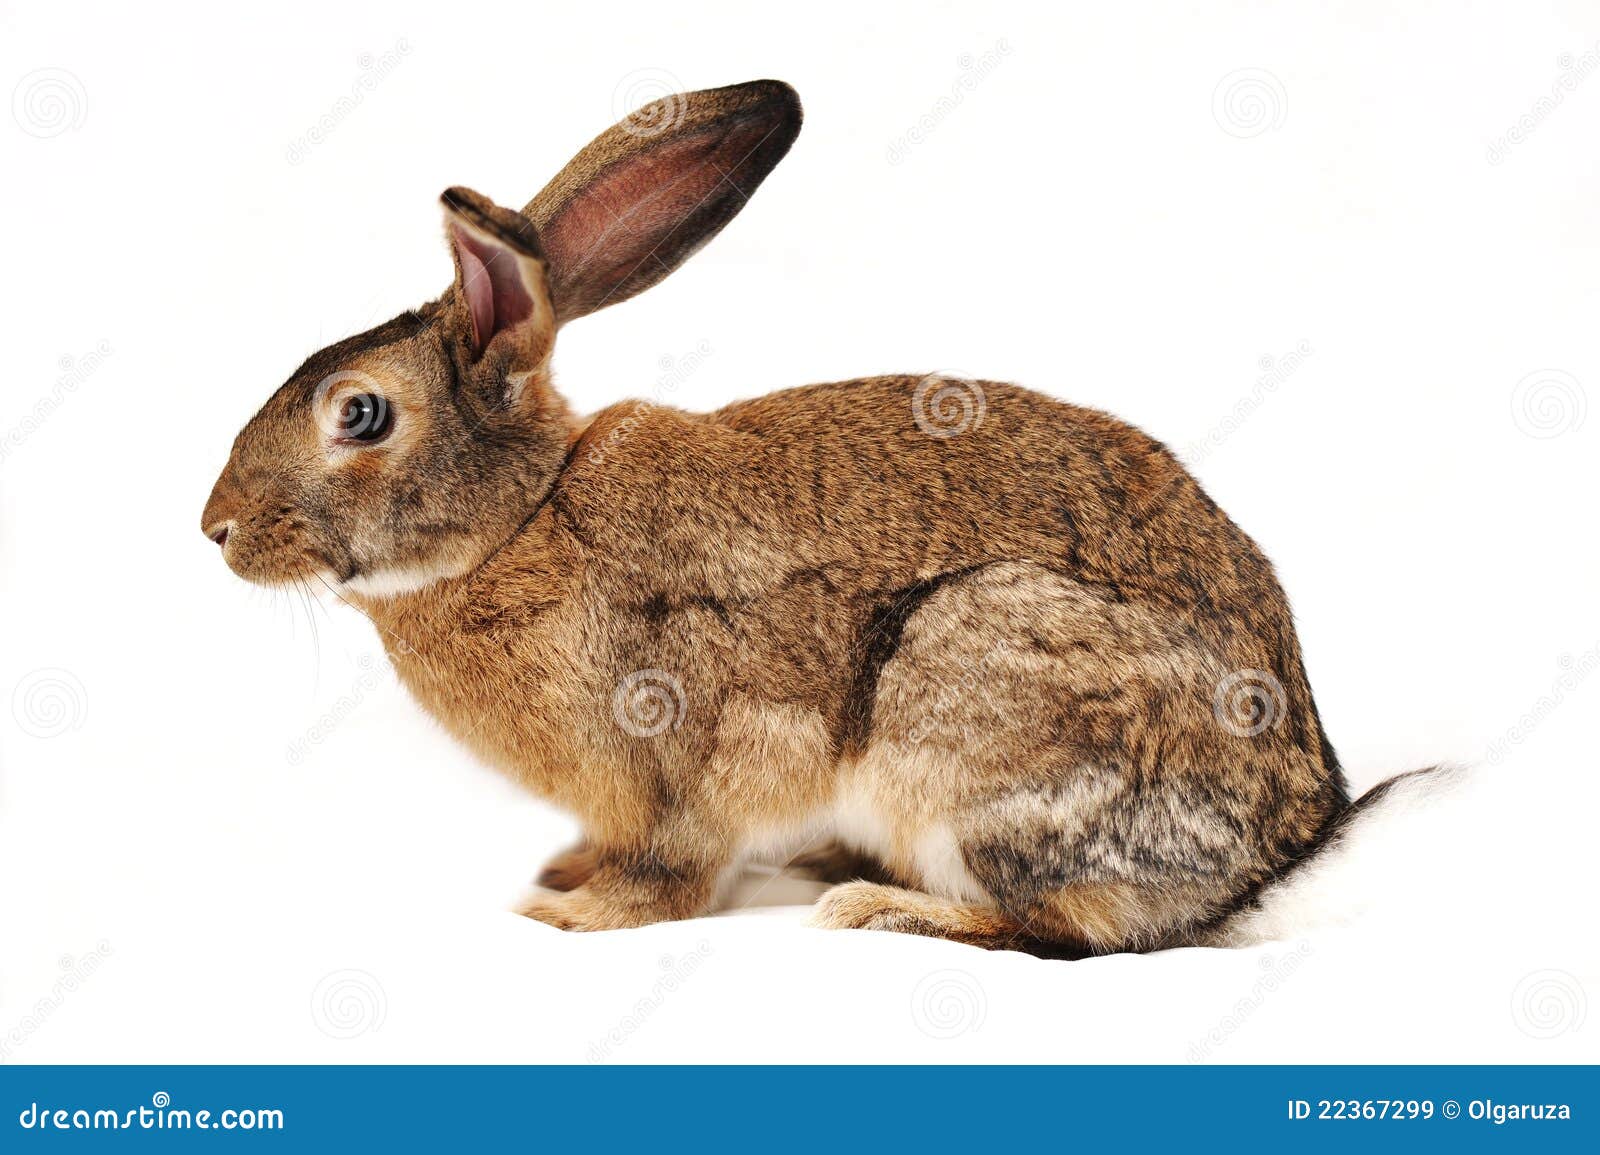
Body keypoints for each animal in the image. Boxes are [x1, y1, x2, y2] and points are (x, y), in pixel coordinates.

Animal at [201, 79, 1448, 957]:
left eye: (361, 414)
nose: (214, 530)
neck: (518, 519)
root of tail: (1286, 840)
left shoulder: (677, 752)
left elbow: (670, 869)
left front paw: (569, 918)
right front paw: (559, 876)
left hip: (968, 701)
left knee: (1070, 930)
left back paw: (875, 909)